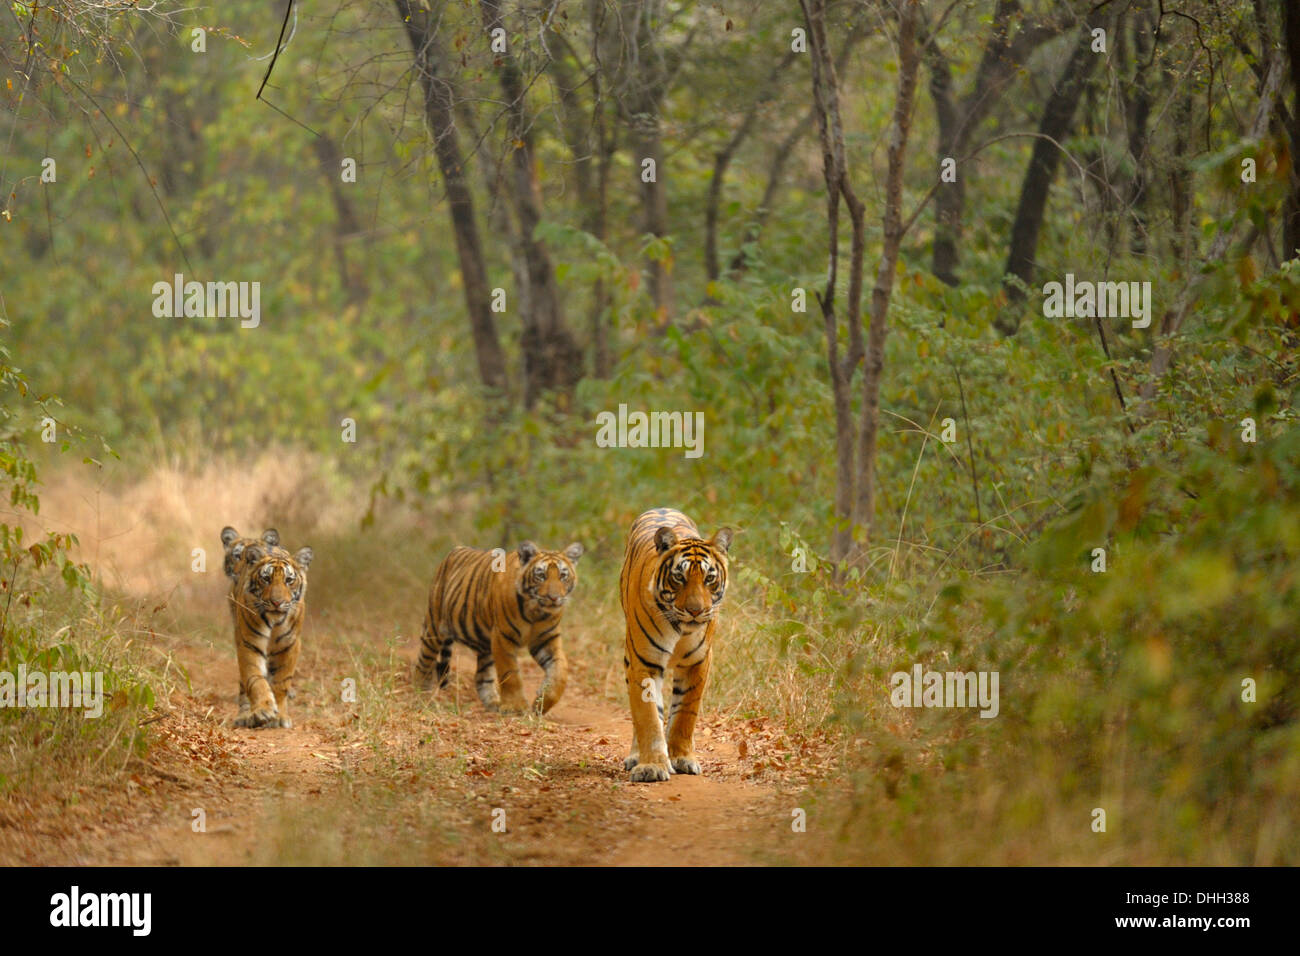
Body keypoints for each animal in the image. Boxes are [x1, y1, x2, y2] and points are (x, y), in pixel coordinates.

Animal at [228, 541, 314, 729]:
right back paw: (244, 715)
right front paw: (262, 710)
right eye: (266, 579)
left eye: (289, 580)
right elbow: (254, 679)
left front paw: (279, 717)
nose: (277, 602)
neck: (274, 623)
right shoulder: (249, 643)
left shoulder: (290, 646)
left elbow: (281, 682)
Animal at [414, 540, 584, 715]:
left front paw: (542, 703)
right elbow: (510, 673)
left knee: (481, 677)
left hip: (485, 644)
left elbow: (560, 671)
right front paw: (516, 706)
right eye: (541, 575)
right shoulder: (503, 636)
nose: (554, 598)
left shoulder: (546, 639)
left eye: (562, 576)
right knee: (423, 663)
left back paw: (493, 703)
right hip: (434, 628)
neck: (536, 612)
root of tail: (455, 550)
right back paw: (421, 695)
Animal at [619, 508, 732, 782]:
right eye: (679, 577)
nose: (695, 611)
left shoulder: (698, 663)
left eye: (709, 578)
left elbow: (684, 715)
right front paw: (651, 766)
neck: (681, 629)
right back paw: (637, 756)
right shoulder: (644, 663)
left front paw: (682, 758)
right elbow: (648, 717)